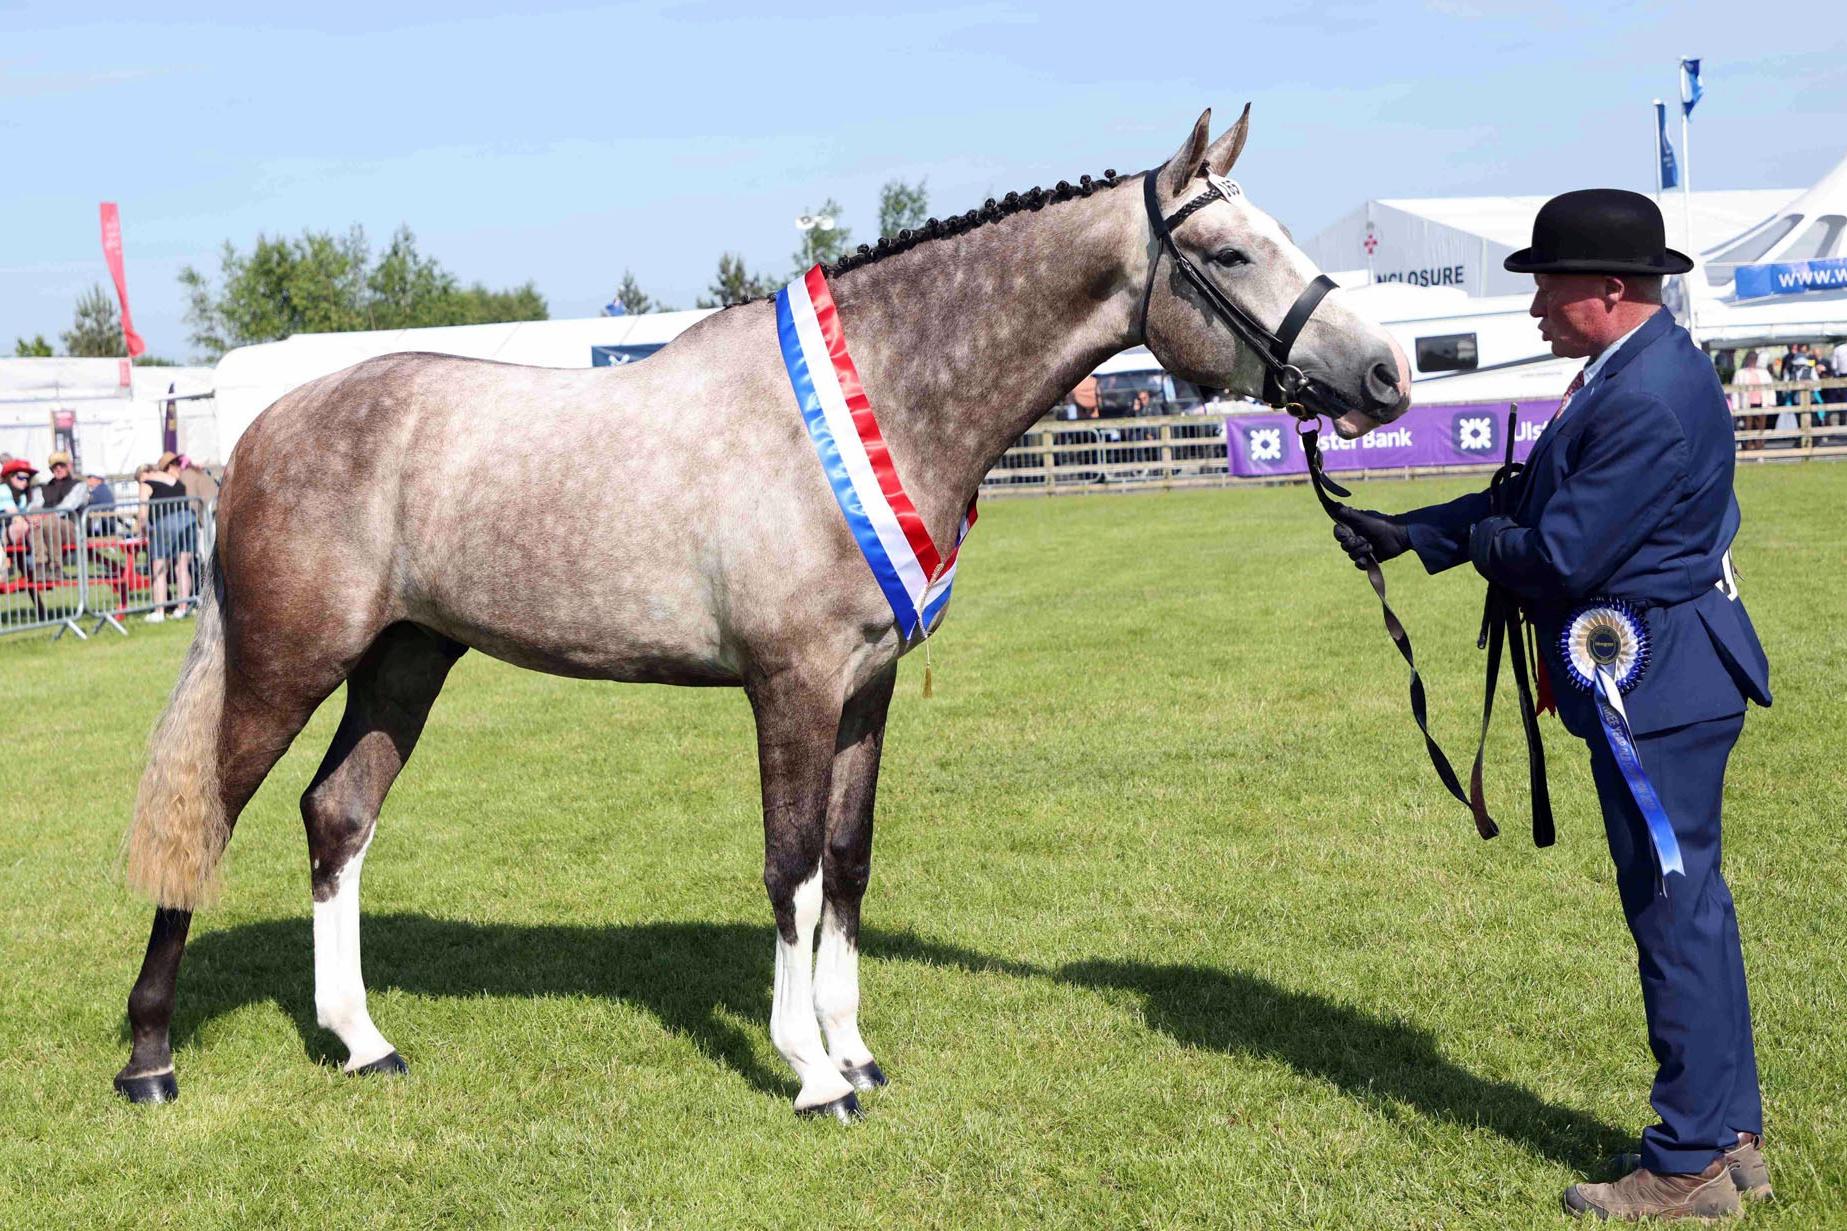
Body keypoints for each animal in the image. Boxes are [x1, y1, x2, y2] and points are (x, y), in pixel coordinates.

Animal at [117, 107, 1411, 1121]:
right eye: (1232, 251)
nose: (1387, 375)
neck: (877, 396)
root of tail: (262, 432)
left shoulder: (866, 688)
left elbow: (845, 862)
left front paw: (856, 1048)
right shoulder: (791, 683)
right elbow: (786, 866)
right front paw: (810, 1071)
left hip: (405, 660)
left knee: (336, 816)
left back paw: (362, 1041)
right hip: (287, 664)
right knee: (209, 820)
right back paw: (149, 1058)